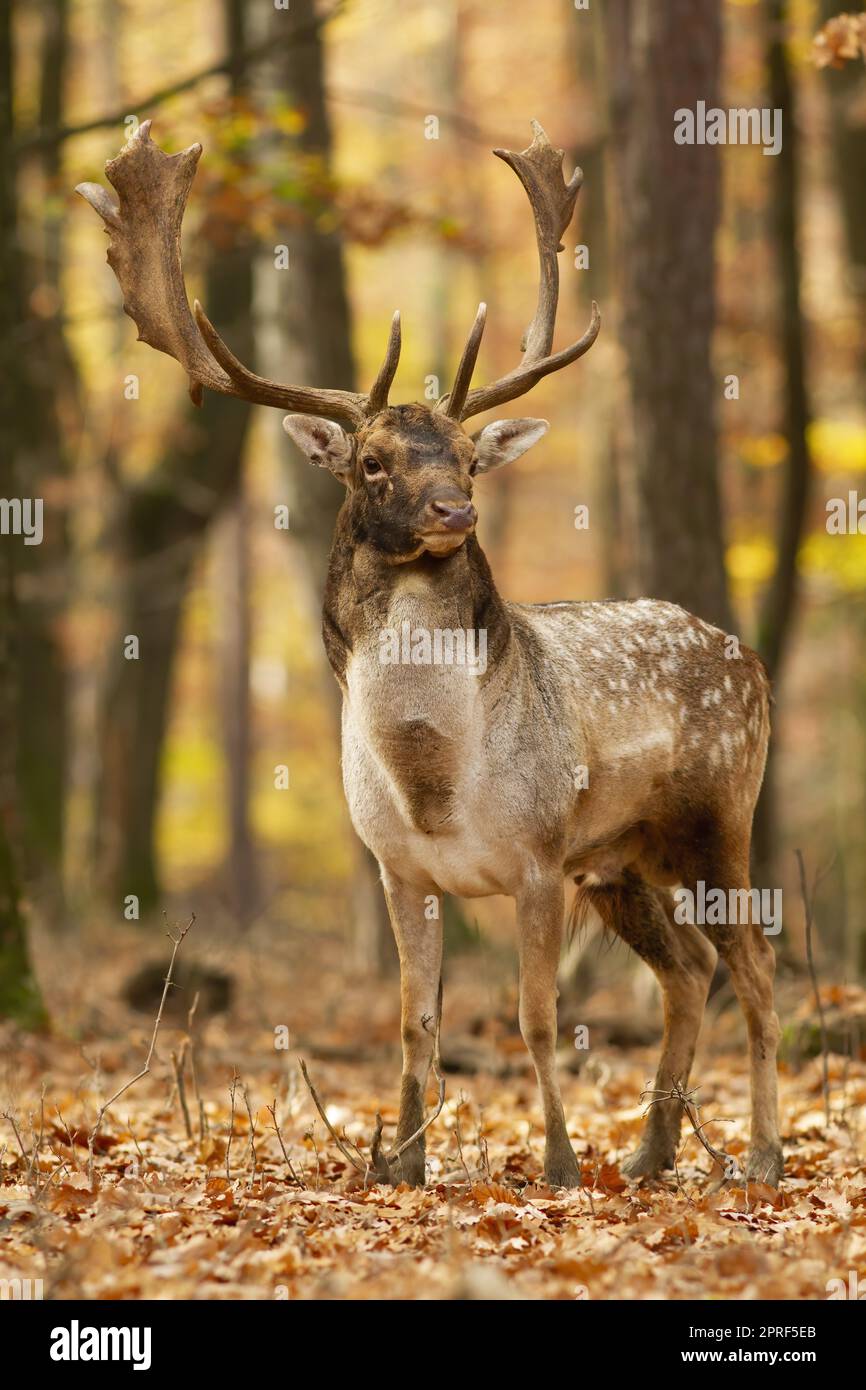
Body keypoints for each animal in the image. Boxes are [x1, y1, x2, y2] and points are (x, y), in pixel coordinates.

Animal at [77, 119, 782, 1190]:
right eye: (373, 462)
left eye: (466, 455)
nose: (457, 510)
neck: (434, 782)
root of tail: (753, 663)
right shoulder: (398, 869)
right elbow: (416, 1022)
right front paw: (402, 1165)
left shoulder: (537, 856)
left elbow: (537, 1020)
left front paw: (559, 1164)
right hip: (621, 861)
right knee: (692, 971)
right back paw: (654, 1152)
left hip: (716, 820)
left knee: (757, 972)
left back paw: (765, 1157)